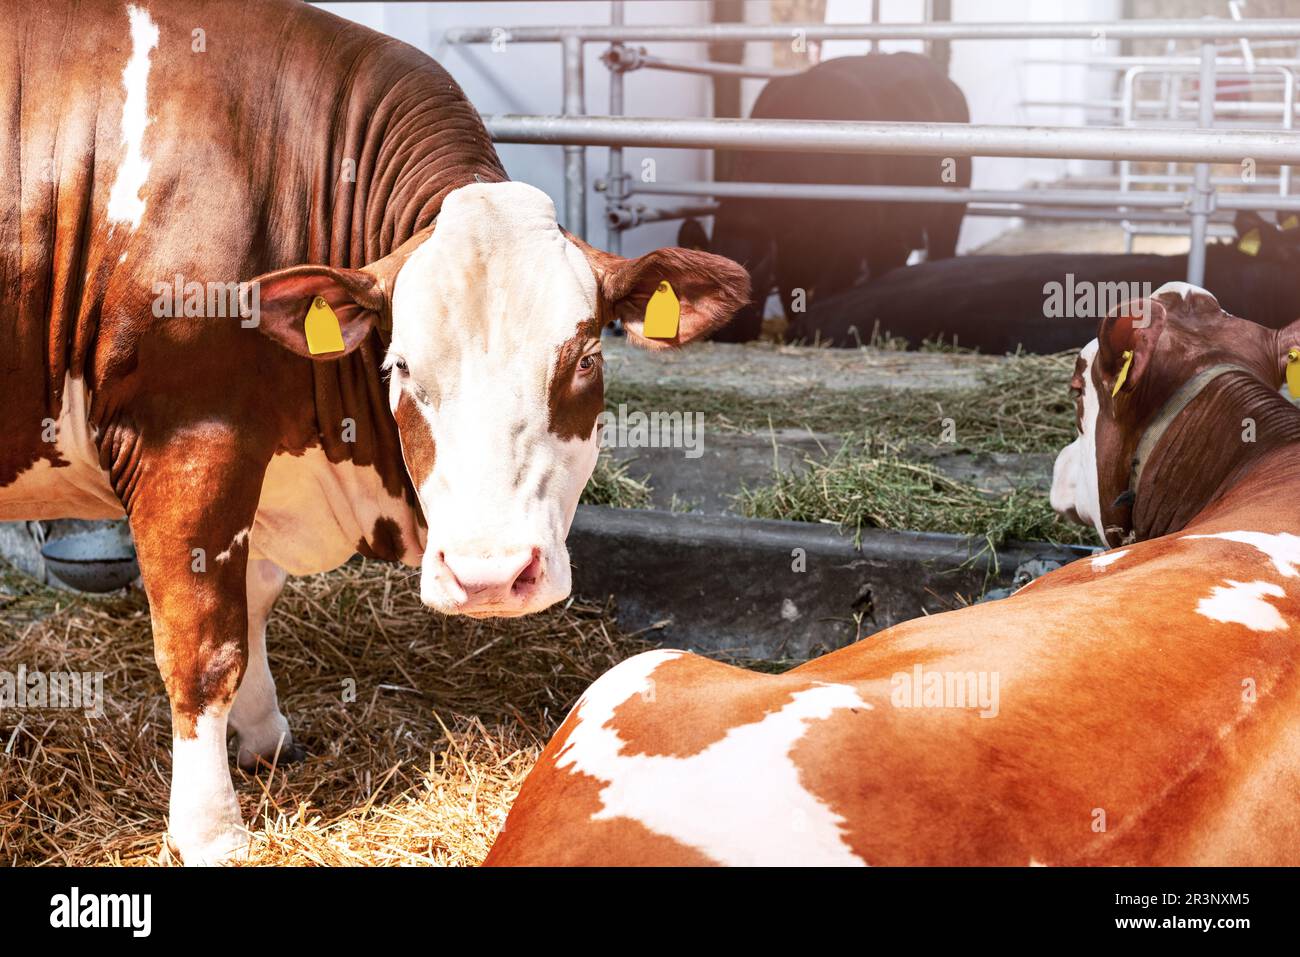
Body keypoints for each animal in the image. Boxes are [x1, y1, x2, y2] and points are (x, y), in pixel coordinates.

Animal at [0, 0, 748, 865]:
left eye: (588, 355)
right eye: (400, 365)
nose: (490, 576)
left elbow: (253, 595)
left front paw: (264, 735)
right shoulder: (182, 436)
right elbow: (202, 643)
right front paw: (211, 830)